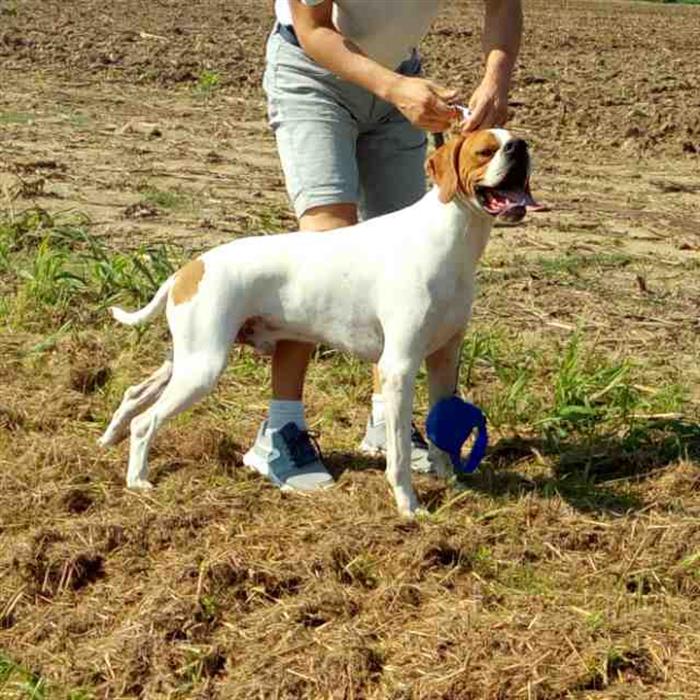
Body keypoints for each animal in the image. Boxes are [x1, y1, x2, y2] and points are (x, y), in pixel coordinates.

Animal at [98, 129, 536, 516]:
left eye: (516, 140)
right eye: (485, 150)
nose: (519, 147)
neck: (451, 237)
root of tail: (189, 269)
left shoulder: (445, 360)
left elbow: (442, 436)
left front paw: (450, 482)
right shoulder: (398, 367)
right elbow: (398, 454)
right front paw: (408, 506)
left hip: (188, 358)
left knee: (135, 393)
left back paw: (107, 438)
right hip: (202, 368)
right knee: (145, 421)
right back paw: (138, 479)